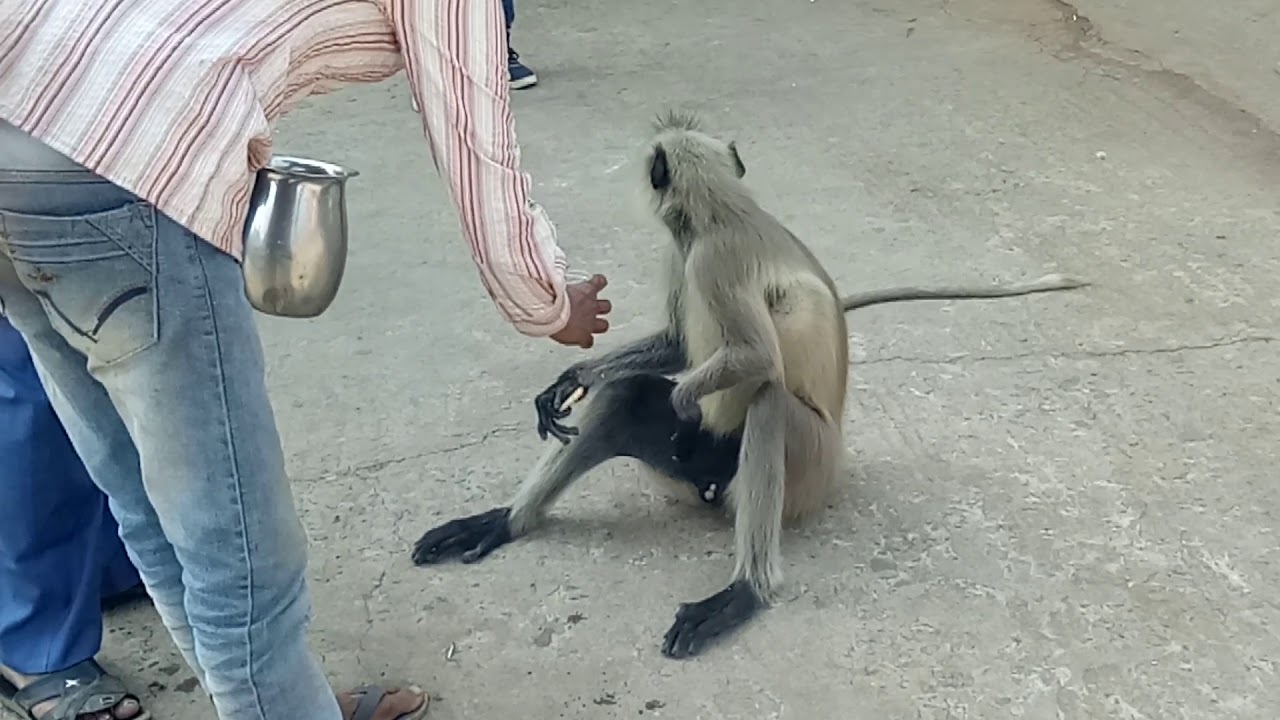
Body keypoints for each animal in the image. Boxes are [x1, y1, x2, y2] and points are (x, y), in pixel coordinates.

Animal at [411, 110, 1087, 660]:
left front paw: (686, 400)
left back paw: (746, 591)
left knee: (768, 404)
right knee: (627, 396)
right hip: (694, 478)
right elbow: (678, 346)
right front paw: (574, 377)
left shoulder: (712, 259)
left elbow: (757, 360)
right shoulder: (682, 254)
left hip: (808, 471)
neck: (721, 211)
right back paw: (505, 522)